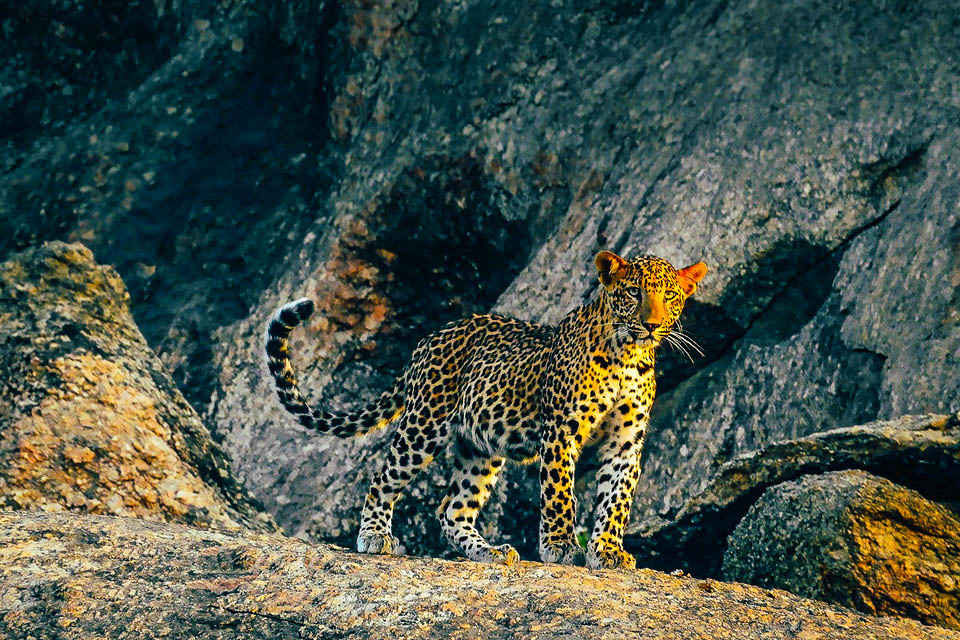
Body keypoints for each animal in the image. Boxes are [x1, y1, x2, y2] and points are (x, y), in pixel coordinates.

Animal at [265, 250, 706, 570]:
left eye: (670, 296)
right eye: (633, 292)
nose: (651, 325)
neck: (628, 354)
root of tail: (429, 338)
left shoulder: (625, 442)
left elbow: (616, 500)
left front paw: (609, 551)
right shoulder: (561, 432)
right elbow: (561, 494)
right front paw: (561, 547)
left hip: (480, 447)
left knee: (452, 509)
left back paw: (490, 552)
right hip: (424, 425)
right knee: (383, 477)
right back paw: (374, 535)